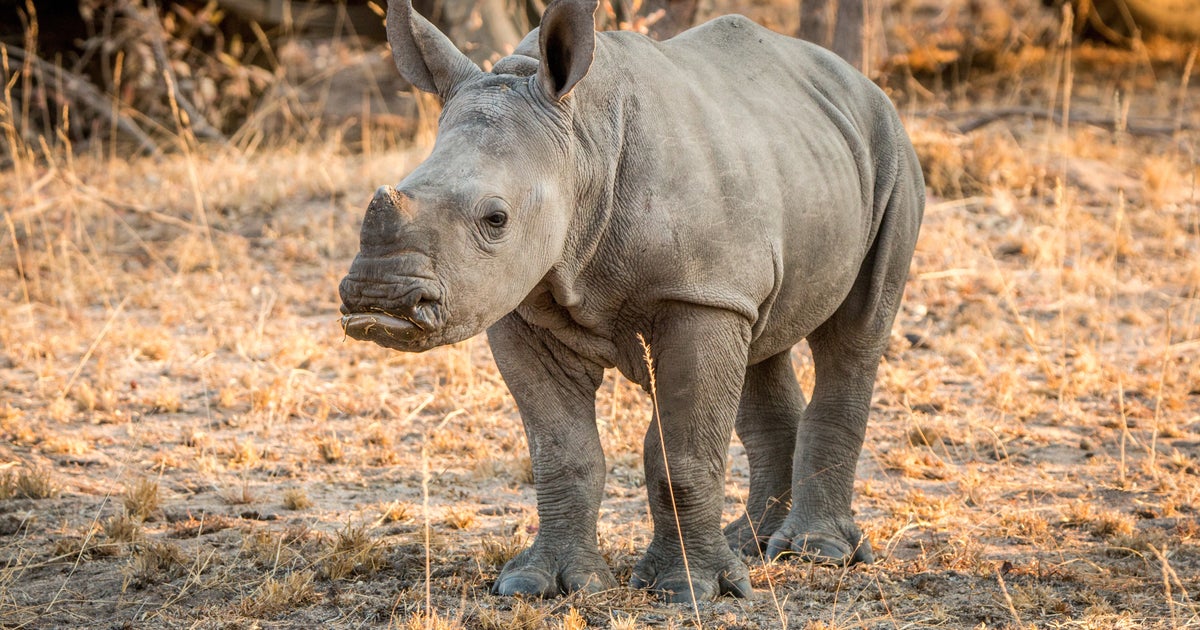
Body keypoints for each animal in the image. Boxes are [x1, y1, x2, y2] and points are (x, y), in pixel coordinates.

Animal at [338, 0, 924, 603]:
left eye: (495, 219)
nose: (378, 302)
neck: (580, 143)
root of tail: (860, 81)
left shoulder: (698, 297)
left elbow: (680, 454)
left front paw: (687, 591)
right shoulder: (522, 303)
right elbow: (561, 451)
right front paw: (540, 585)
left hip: (889, 149)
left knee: (854, 333)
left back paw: (816, 553)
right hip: (785, 173)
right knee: (763, 337)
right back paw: (751, 544)